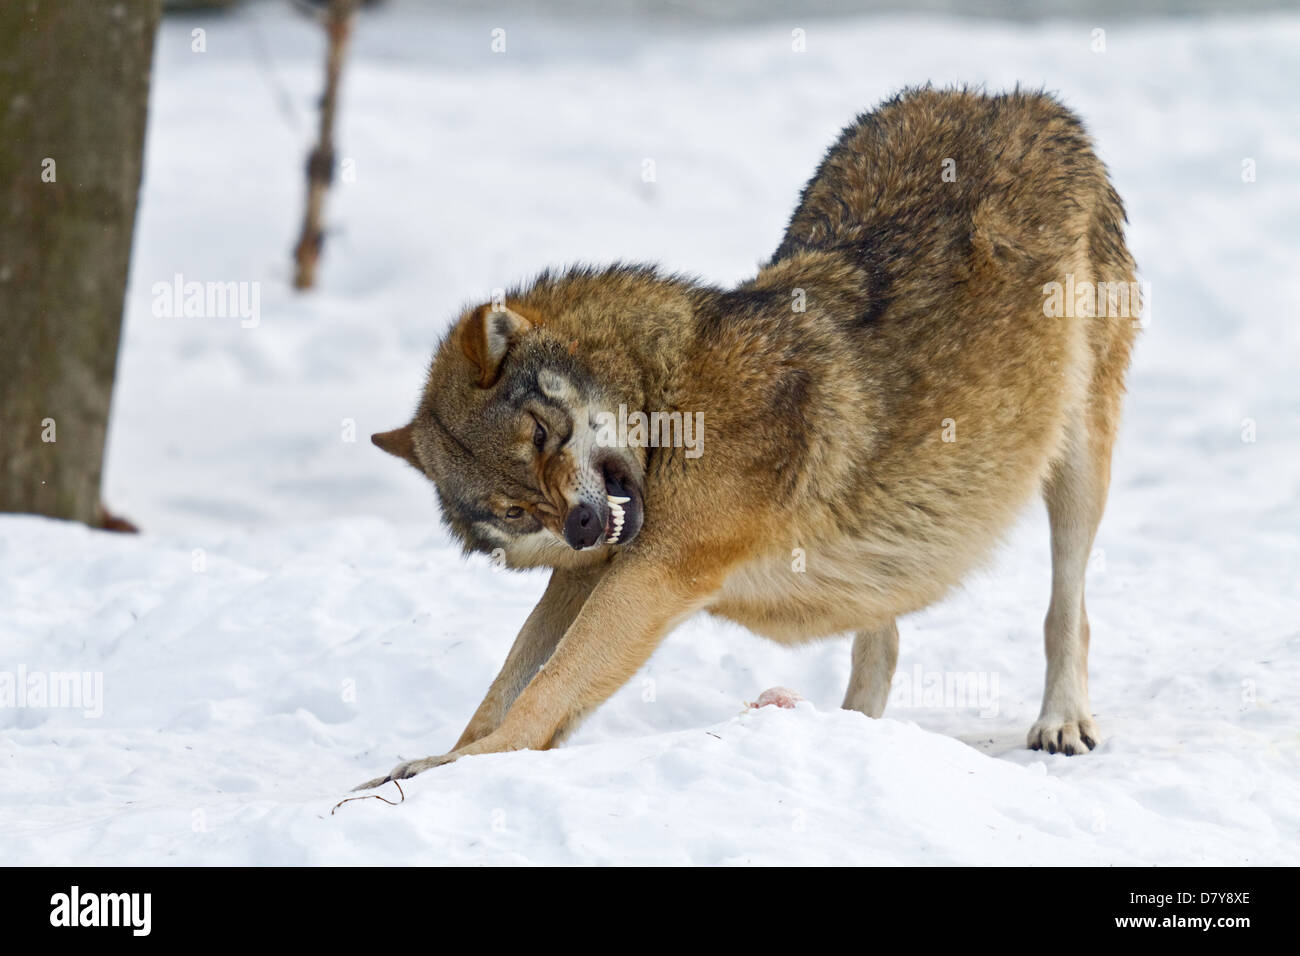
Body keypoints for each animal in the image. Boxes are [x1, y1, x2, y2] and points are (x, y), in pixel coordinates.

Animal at [359, 87, 1139, 789]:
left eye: (544, 435)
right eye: (515, 509)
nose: (579, 525)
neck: (674, 394)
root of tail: (1015, 99)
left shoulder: (655, 572)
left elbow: (546, 686)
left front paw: (455, 769)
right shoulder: (586, 575)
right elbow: (509, 683)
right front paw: (440, 758)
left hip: (1079, 466)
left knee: (1068, 609)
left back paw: (1062, 720)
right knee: (884, 634)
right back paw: (854, 731)